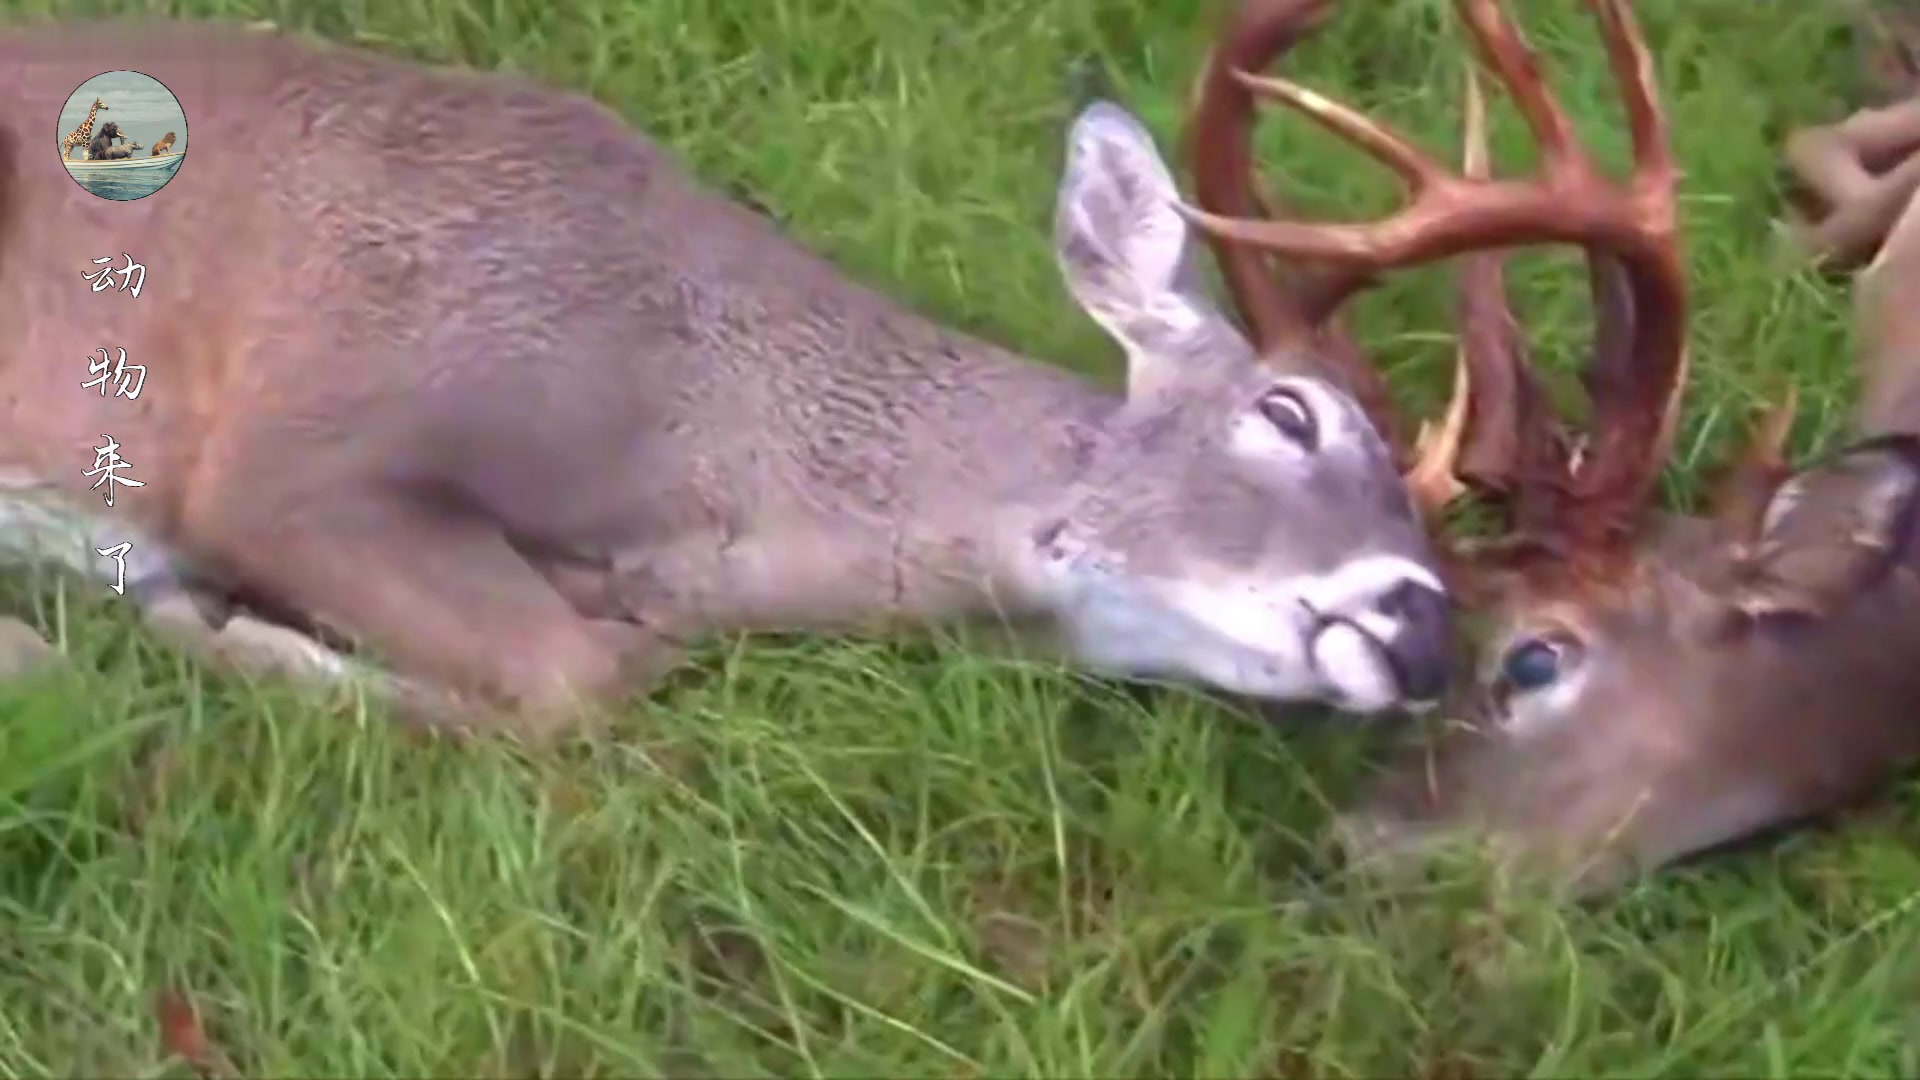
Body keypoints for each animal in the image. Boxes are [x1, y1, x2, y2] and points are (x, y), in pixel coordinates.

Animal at [0, 19, 1470, 739]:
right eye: (1291, 411)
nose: (1429, 633)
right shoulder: (313, 425)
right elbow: (576, 683)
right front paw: (219, 630)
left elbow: (603, 661)